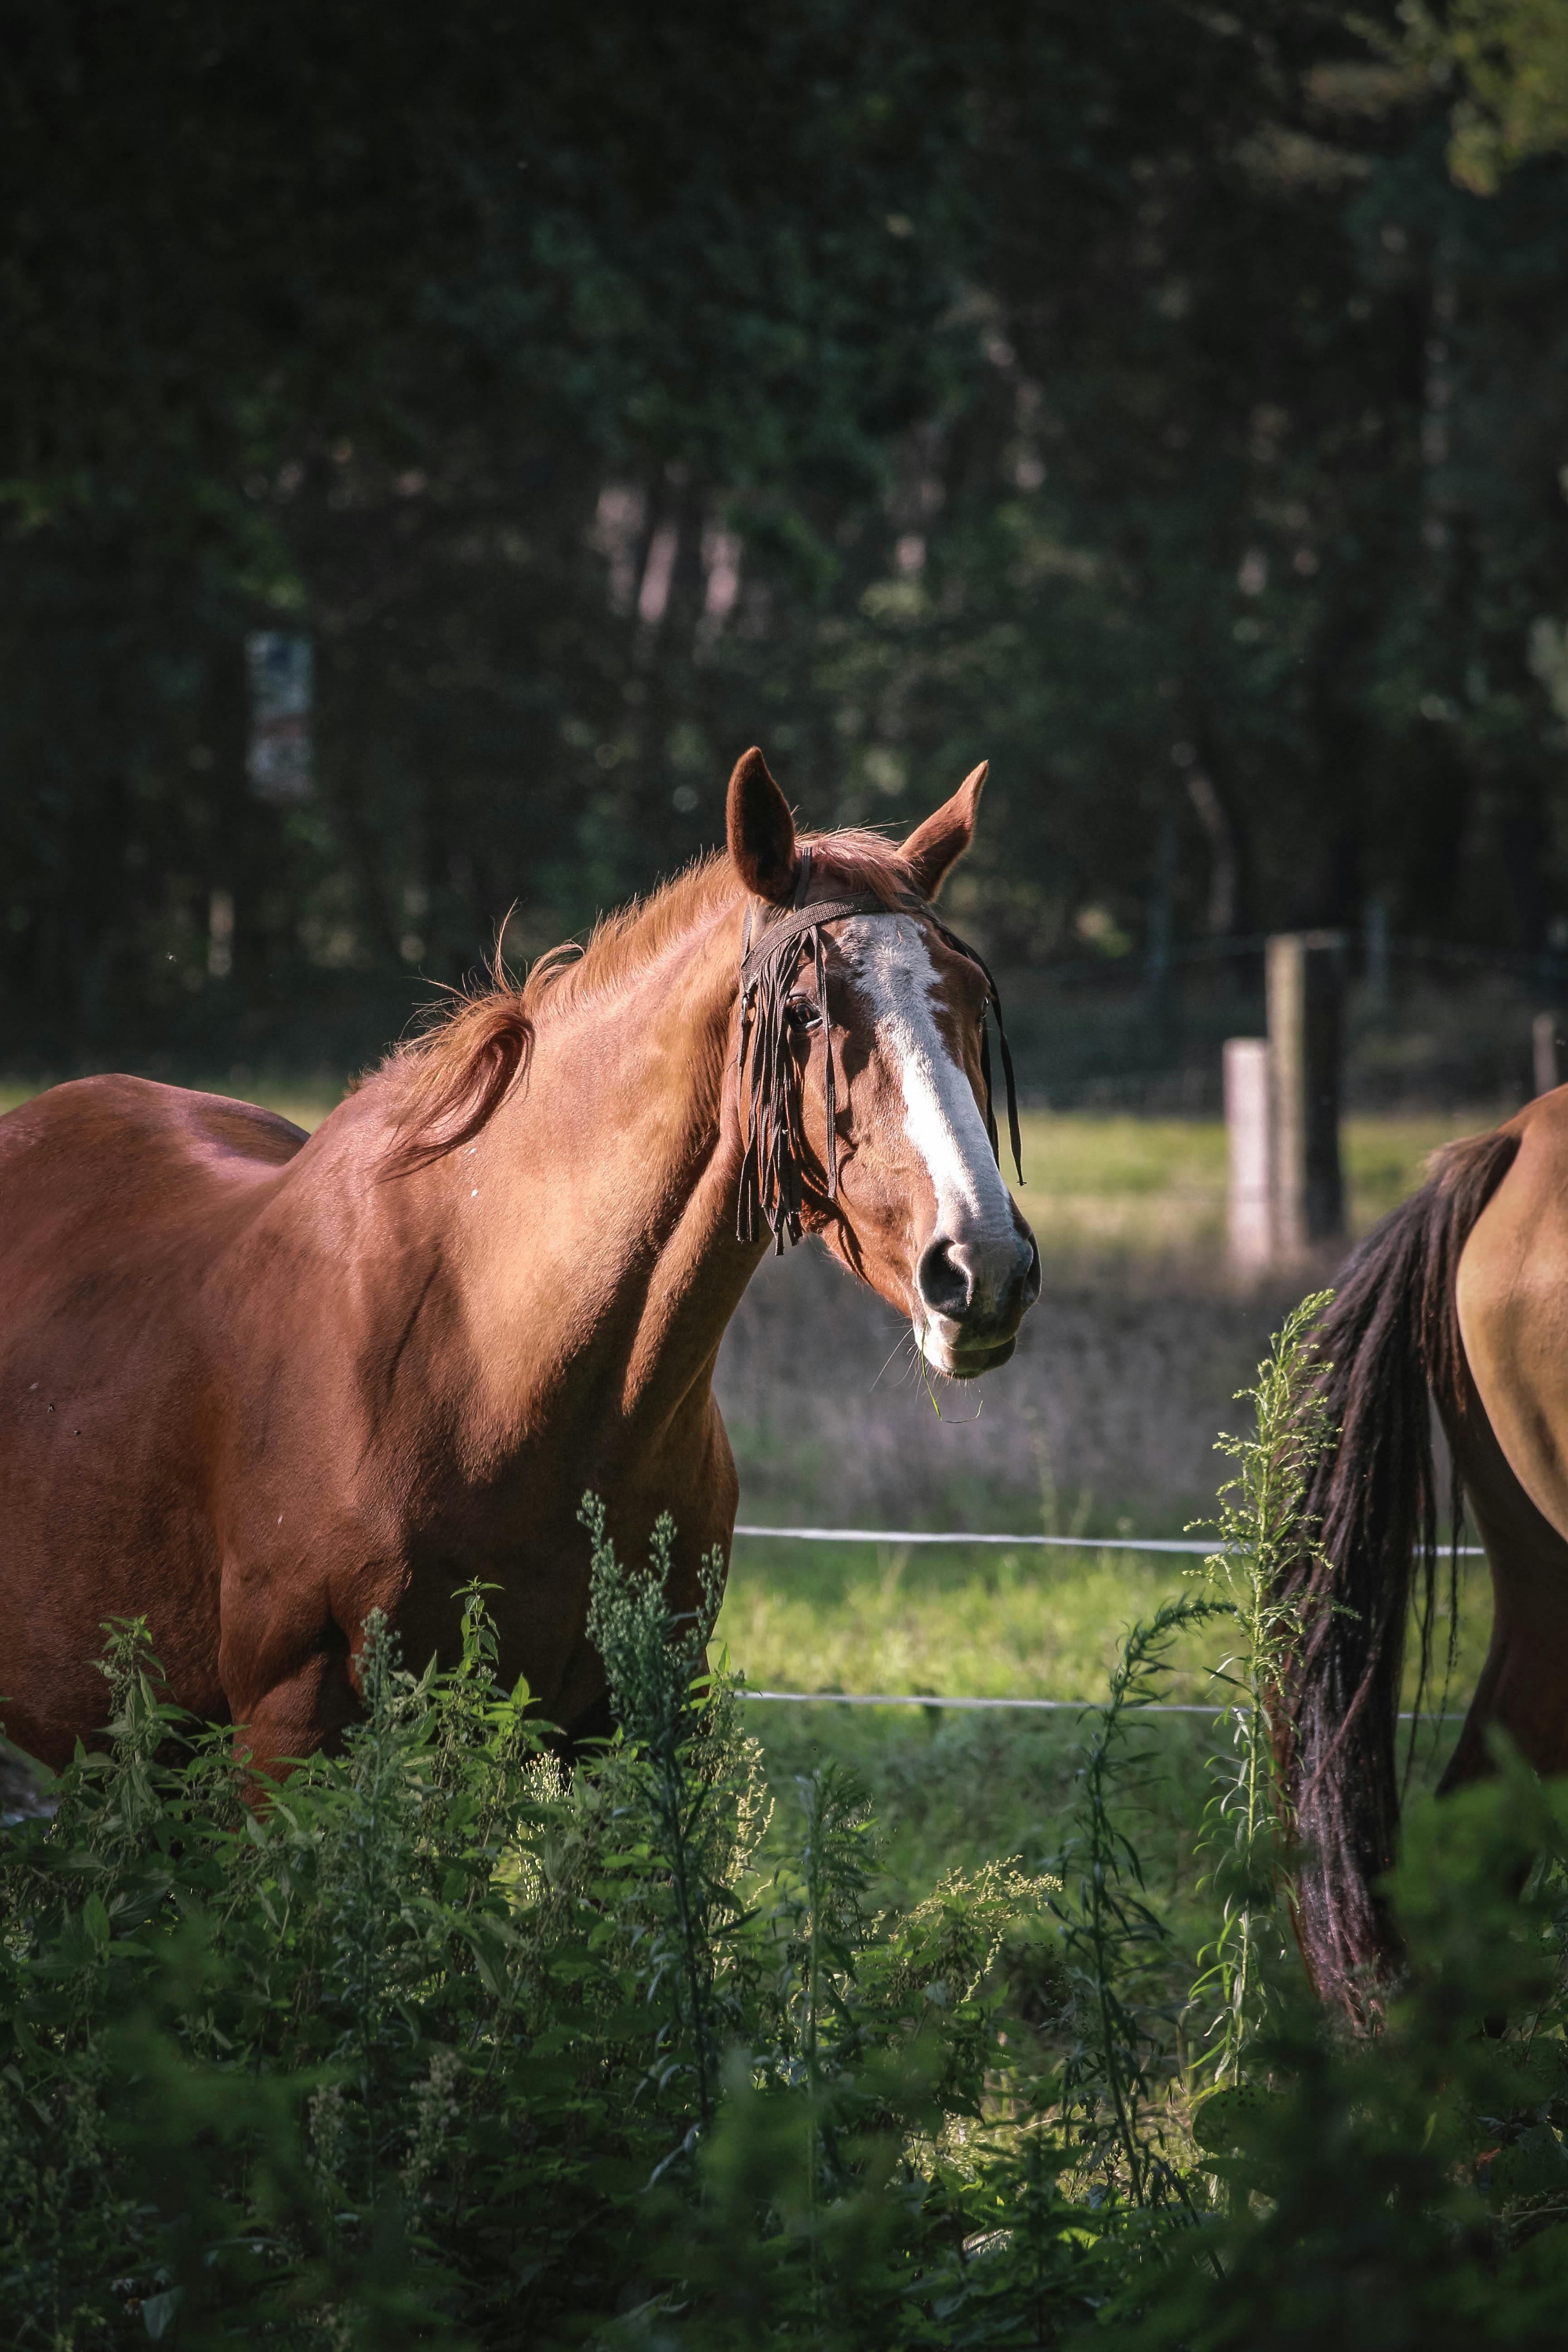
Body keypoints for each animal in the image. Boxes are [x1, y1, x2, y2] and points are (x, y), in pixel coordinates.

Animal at [0, 748, 1039, 1779]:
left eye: (971, 997)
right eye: (804, 1009)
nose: (983, 1266)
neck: (489, 1358)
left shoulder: (634, 1723)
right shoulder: (291, 1739)